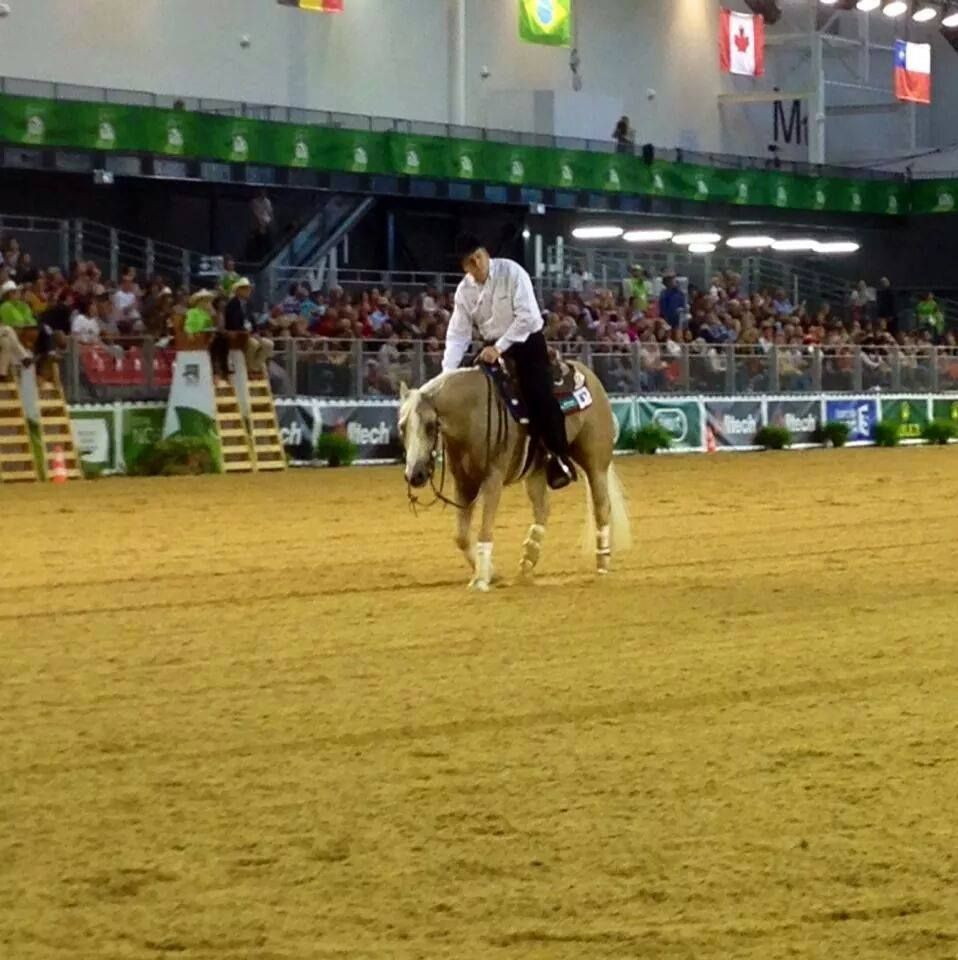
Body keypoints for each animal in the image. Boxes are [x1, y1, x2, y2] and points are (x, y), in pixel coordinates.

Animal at [398, 361, 631, 591]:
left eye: (430, 425)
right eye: (402, 427)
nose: (415, 474)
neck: (473, 413)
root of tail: (586, 372)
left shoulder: (493, 479)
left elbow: (485, 529)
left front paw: (481, 580)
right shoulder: (464, 482)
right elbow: (461, 536)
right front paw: (490, 573)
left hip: (595, 462)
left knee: (601, 506)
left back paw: (602, 564)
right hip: (536, 470)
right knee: (542, 509)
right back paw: (526, 564)